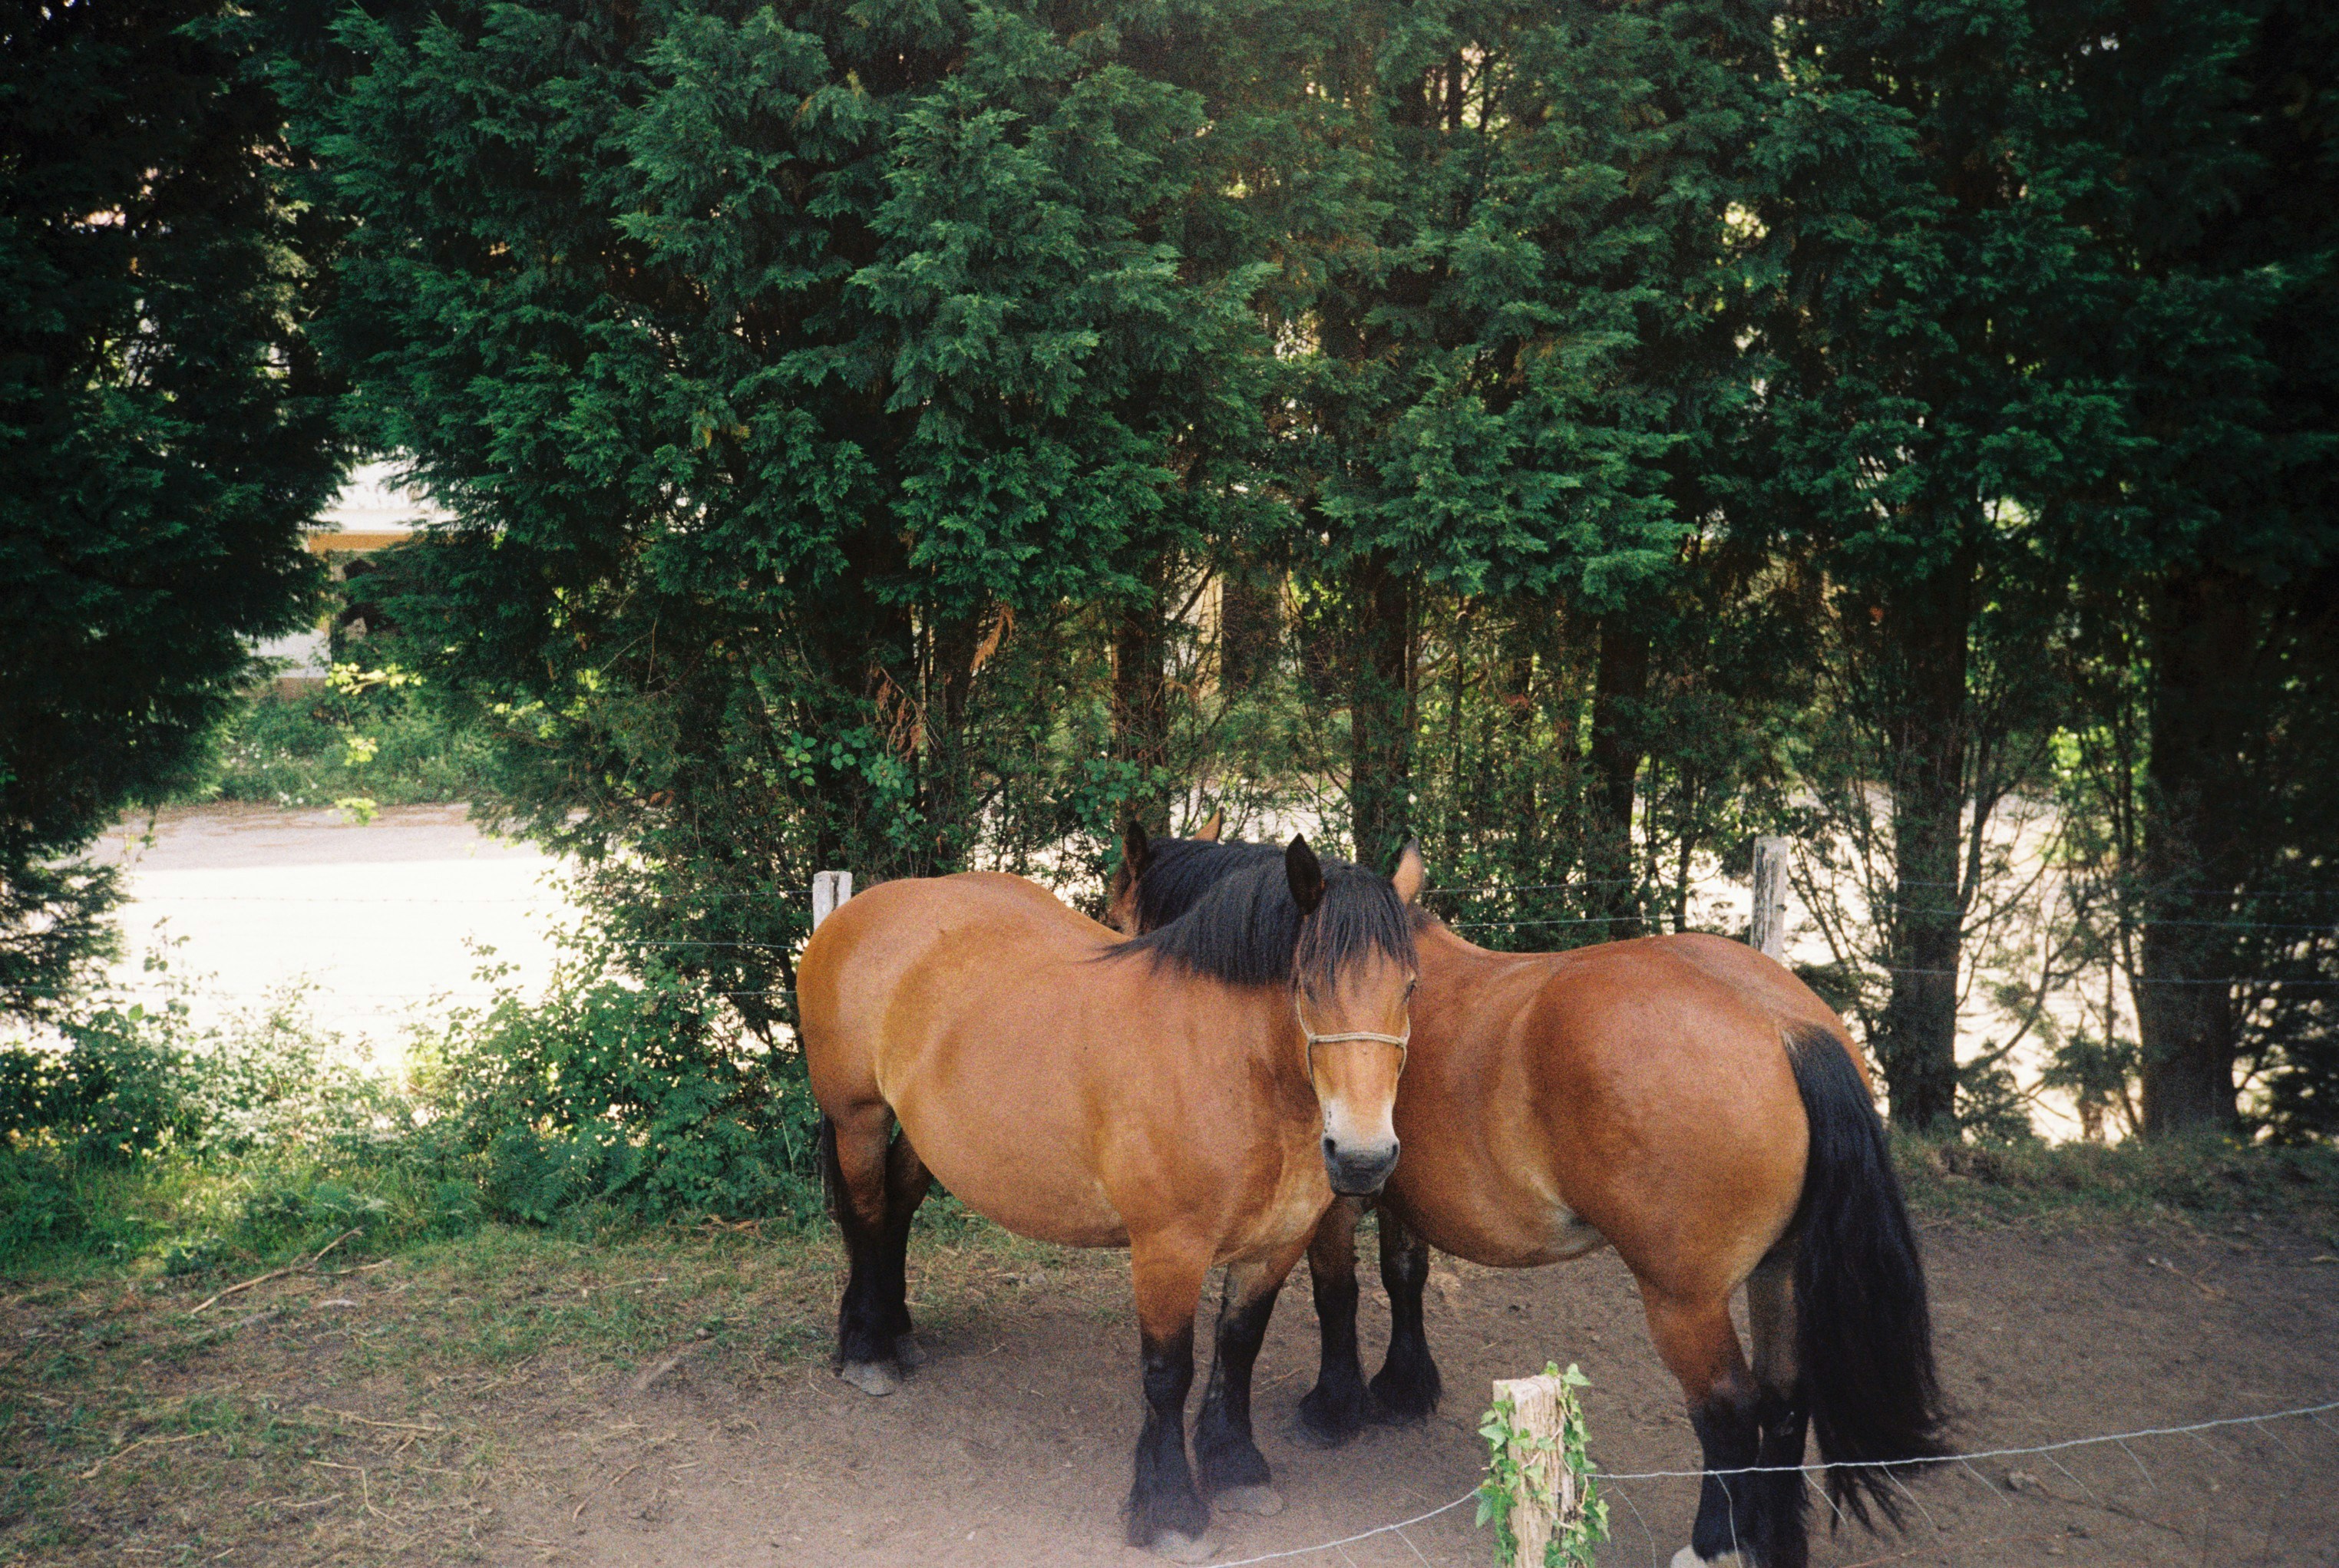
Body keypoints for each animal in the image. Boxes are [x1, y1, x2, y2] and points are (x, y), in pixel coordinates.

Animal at [797, 836, 1425, 1559]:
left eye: (1409, 986)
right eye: (1307, 984)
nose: (1362, 1157)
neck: (1229, 1065)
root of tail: (857, 910)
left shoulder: (1277, 1242)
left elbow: (1239, 1347)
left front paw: (1236, 1467)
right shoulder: (1167, 1250)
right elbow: (1167, 1373)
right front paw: (1171, 1509)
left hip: (926, 1135)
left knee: (895, 1210)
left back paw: (893, 1333)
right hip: (859, 1120)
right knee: (867, 1215)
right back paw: (868, 1351)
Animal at [1108, 826, 1945, 1568]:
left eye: (1118, 922)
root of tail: (1785, 1025)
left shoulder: (1337, 1197)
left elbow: (1335, 1293)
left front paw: (1335, 1405)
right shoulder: (1398, 1190)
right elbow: (1402, 1277)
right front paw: (1402, 1388)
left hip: (1685, 1299)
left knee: (1729, 1409)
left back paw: (1715, 1546)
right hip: (1780, 1271)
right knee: (1784, 1398)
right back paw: (1772, 1541)